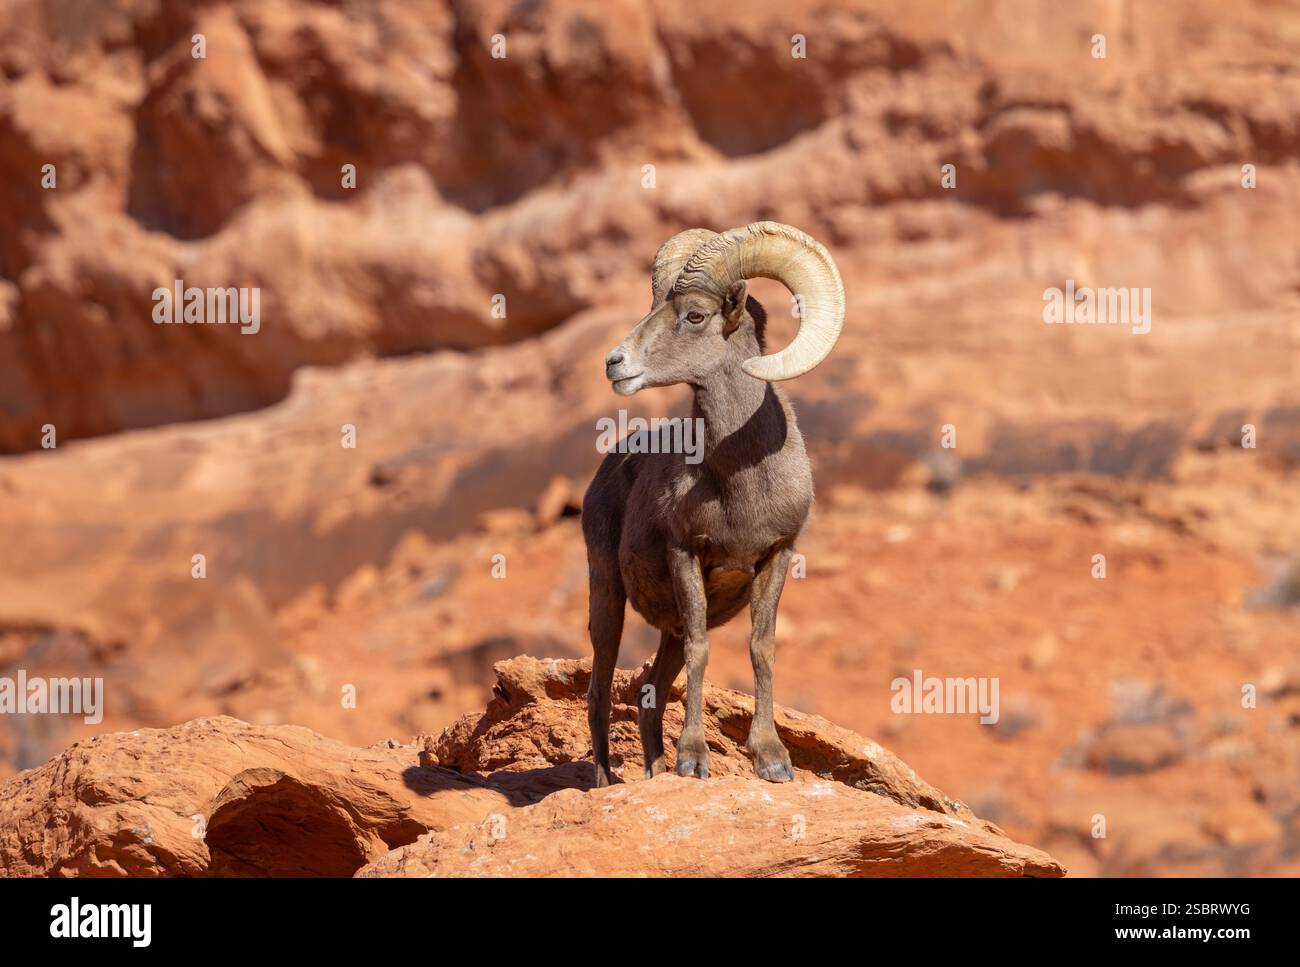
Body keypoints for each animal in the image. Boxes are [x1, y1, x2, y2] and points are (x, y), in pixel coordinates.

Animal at [582, 221, 845, 785]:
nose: (614, 363)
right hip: (606, 595)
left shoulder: (776, 556)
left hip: (664, 630)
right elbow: (704, 650)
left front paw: (772, 760)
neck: (739, 480)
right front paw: (694, 760)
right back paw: (607, 784)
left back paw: (655, 773)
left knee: (648, 696)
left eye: (695, 315)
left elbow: (761, 649)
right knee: (599, 693)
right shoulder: (686, 555)